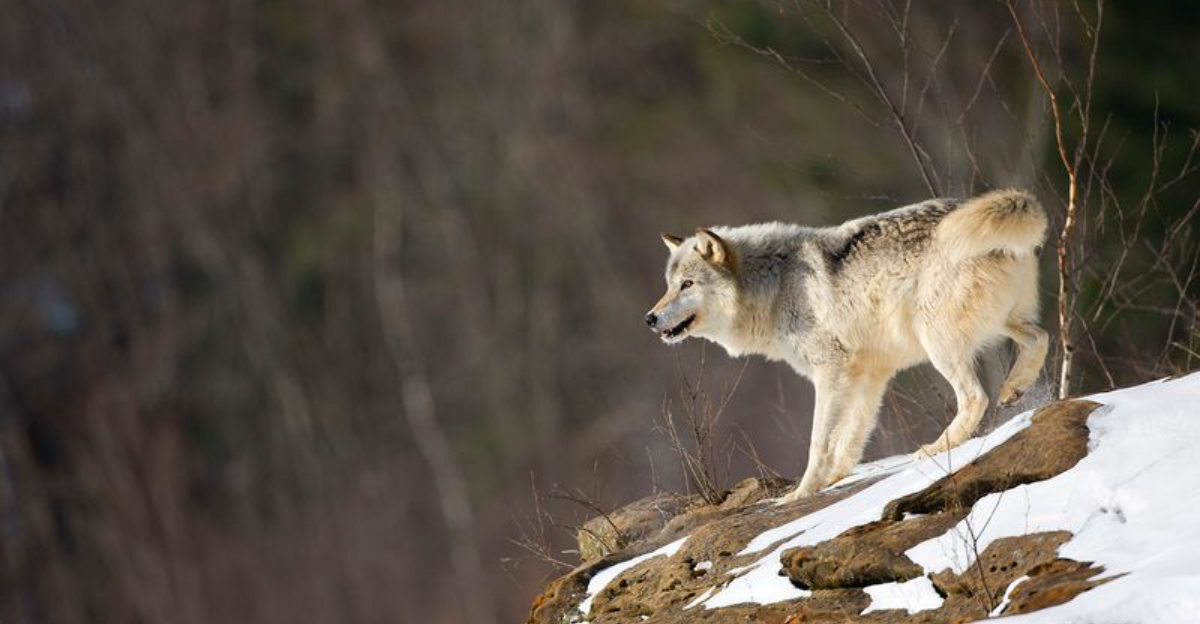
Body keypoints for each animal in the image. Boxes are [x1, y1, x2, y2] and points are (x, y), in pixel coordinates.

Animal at [646, 190, 1049, 504]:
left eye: (687, 285)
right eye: (668, 284)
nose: (649, 318)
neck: (775, 285)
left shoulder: (830, 372)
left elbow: (819, 442)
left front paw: (800, 493)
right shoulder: (868, 374)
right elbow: (851, 436)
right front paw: (836, 478)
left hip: (937, 340)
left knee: (975, 397)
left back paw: (937, 447)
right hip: (1001, 325)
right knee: (1041, 338)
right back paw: (1014, 388)